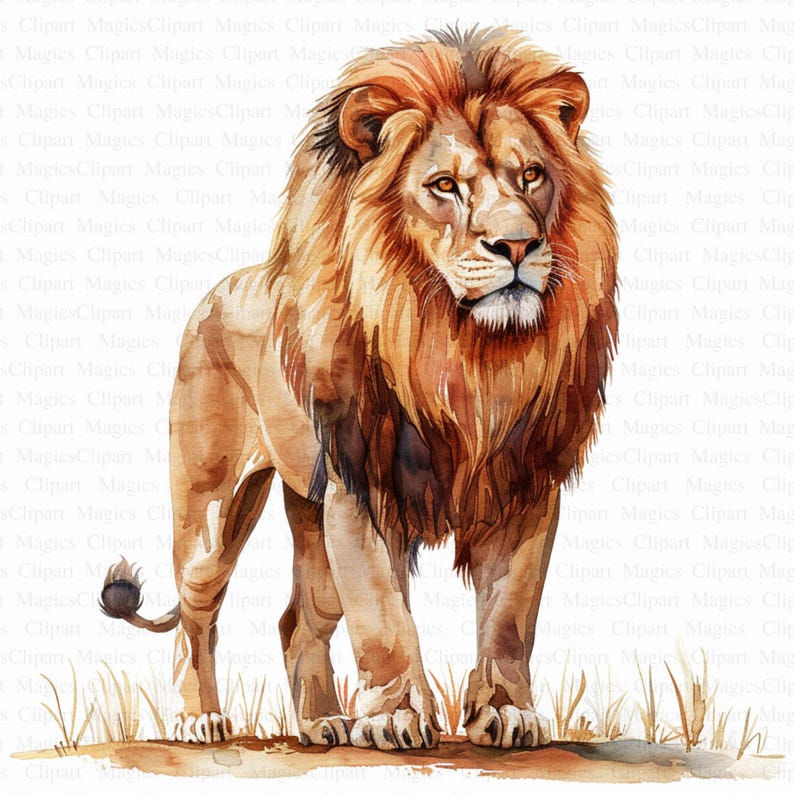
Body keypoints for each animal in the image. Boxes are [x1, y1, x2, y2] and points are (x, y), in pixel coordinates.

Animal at [100, 26, 618, 751]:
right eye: (445, 185)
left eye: (532, 176)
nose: (517, 246)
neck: (466, 355)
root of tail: (220, 289)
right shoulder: (362, 482)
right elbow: (381, 612)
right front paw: (397, 715)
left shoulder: (525, 481)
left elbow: (511, 615)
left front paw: (507, 711)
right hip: (212, 504)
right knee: (199, 607)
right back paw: (198, 717)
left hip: (308, 513)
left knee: (299, 618)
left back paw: (323, 722)